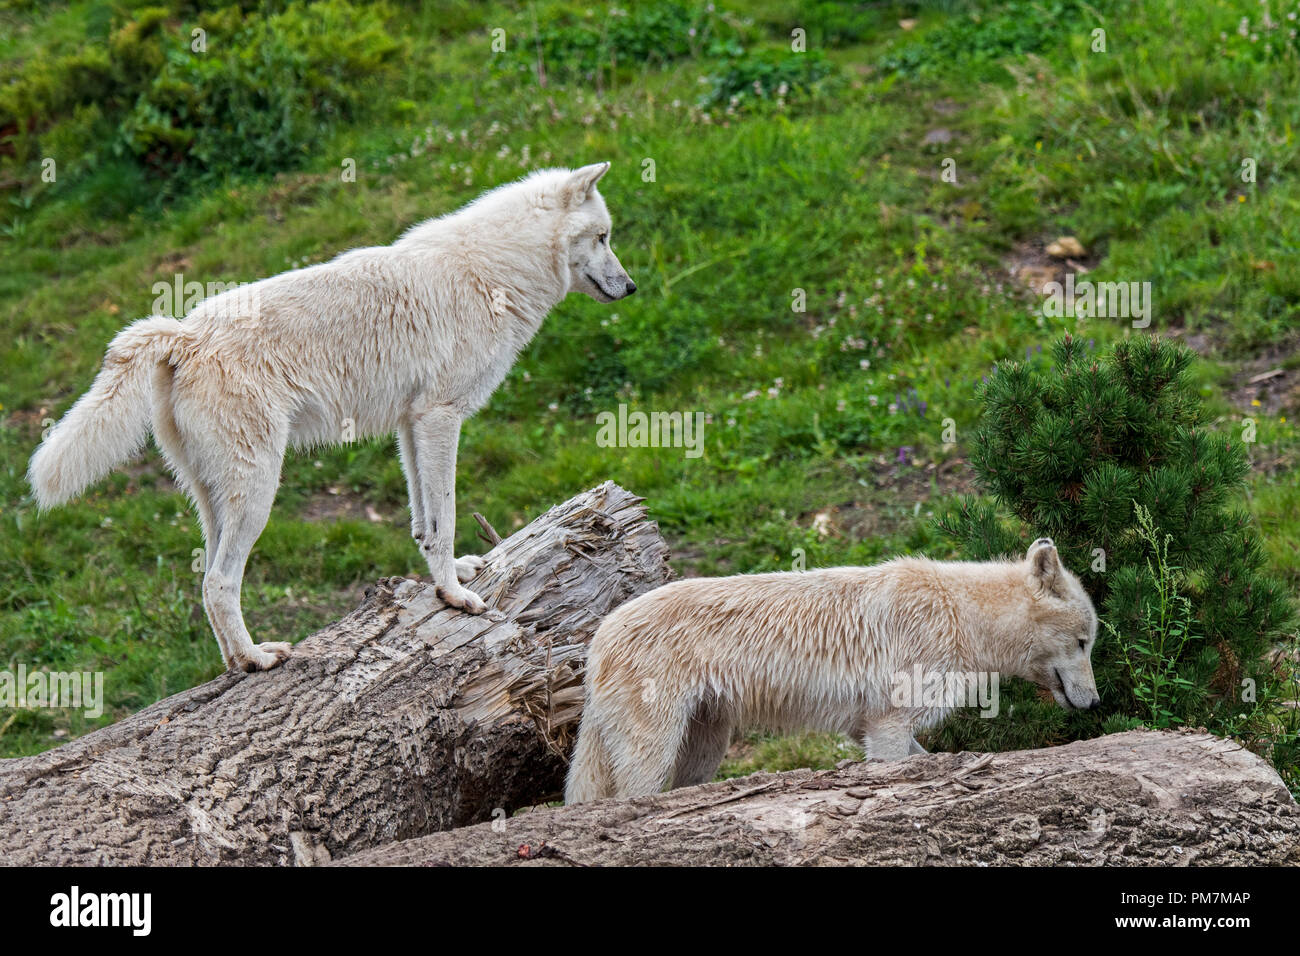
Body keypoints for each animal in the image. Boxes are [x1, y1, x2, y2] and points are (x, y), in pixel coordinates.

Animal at [28, 163, 634, 672]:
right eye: (604, 237)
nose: (631, 288)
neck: (495, 270)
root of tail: (183, 334)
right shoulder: (441, 418)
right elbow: (445, 515)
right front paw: (455, 597)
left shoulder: (411, 425)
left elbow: (423, 521)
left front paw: (452, 576)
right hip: (258, 491)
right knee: (220, 583)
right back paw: (259, 659)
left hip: (216, 498)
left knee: (204, 583)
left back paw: (237, 664)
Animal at [565, 538, 1100, 803]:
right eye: (1083, 642)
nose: (1094, 702)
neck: (961, 617)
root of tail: (597, 641)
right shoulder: (889, 716)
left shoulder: (876, 722)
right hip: (656, 732)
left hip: (706, 735)